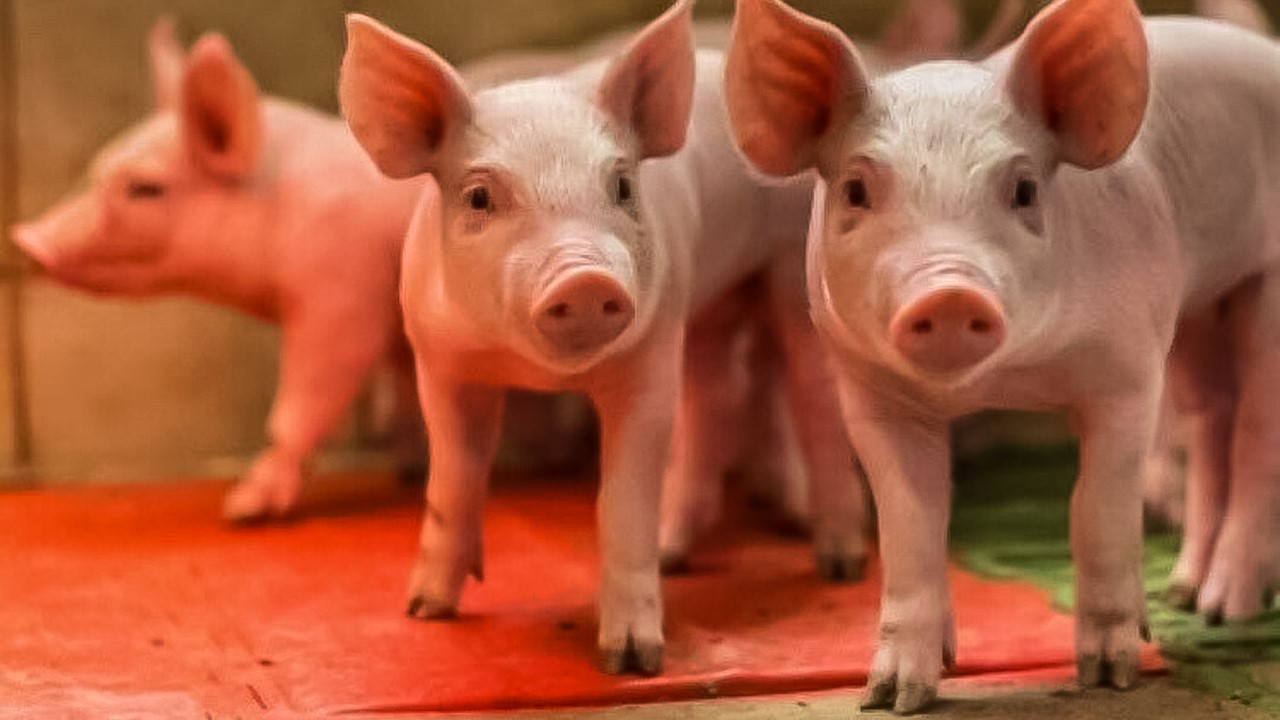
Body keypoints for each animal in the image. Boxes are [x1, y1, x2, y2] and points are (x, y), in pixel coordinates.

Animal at [10, 20, 426, 522]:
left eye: (145, 188)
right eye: (98, 167)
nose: (25, 239)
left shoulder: (342, 295)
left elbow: (307, 395)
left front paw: (243, 509)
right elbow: (409, 391)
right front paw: (411, 470)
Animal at [339, 0, 869, 674]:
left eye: (620, 186)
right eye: (479, 196)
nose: (585, 276)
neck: (538, 372)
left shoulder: (645, 357)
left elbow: (621, 499)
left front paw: (633, 663)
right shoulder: (441, 361)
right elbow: (454, 477)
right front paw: (426, 612)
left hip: (784, 269)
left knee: (813, 395)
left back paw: (840, 565)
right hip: (703, 304)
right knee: (713, 392)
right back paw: (676, 553)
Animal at [726, 0, 1280, 711]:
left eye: (1023, 189)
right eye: (855, 189)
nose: (951, 291)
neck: (1007, 380)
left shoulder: (1126, 372)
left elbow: (1096, 511)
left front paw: (1108, 676)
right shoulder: (870, 392)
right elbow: (911, 526)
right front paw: (894, 696)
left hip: (1265, 287)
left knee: (1257, 432)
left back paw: (1223, 608)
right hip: (1196, 309)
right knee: (1213, 418)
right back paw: (1185, 592)